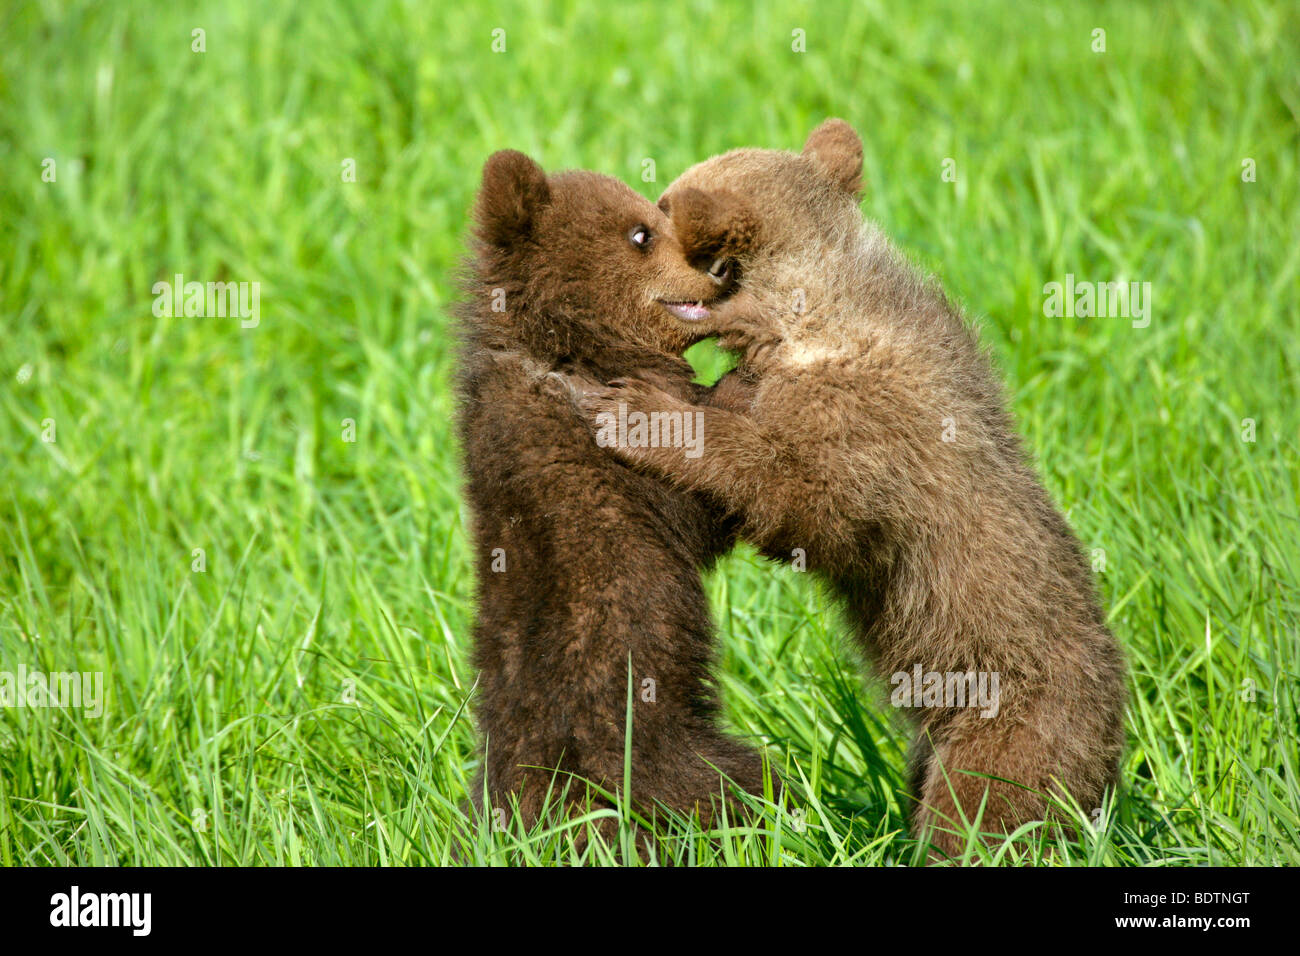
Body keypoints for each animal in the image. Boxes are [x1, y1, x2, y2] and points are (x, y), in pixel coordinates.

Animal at [455, 148, 772, 851]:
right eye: (640, 233)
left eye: (656, 213)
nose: (718, 267)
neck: (571, 347)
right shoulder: (597, 457)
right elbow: (697, 507)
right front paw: (741, 379)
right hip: (652, 748)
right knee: (739, 782)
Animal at [574, 120, 1128, 861]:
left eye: (659, 214)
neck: (803, 318)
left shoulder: (869, 429)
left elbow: (799, 496)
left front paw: (639, 411)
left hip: (1010, 721)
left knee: (981, 813)